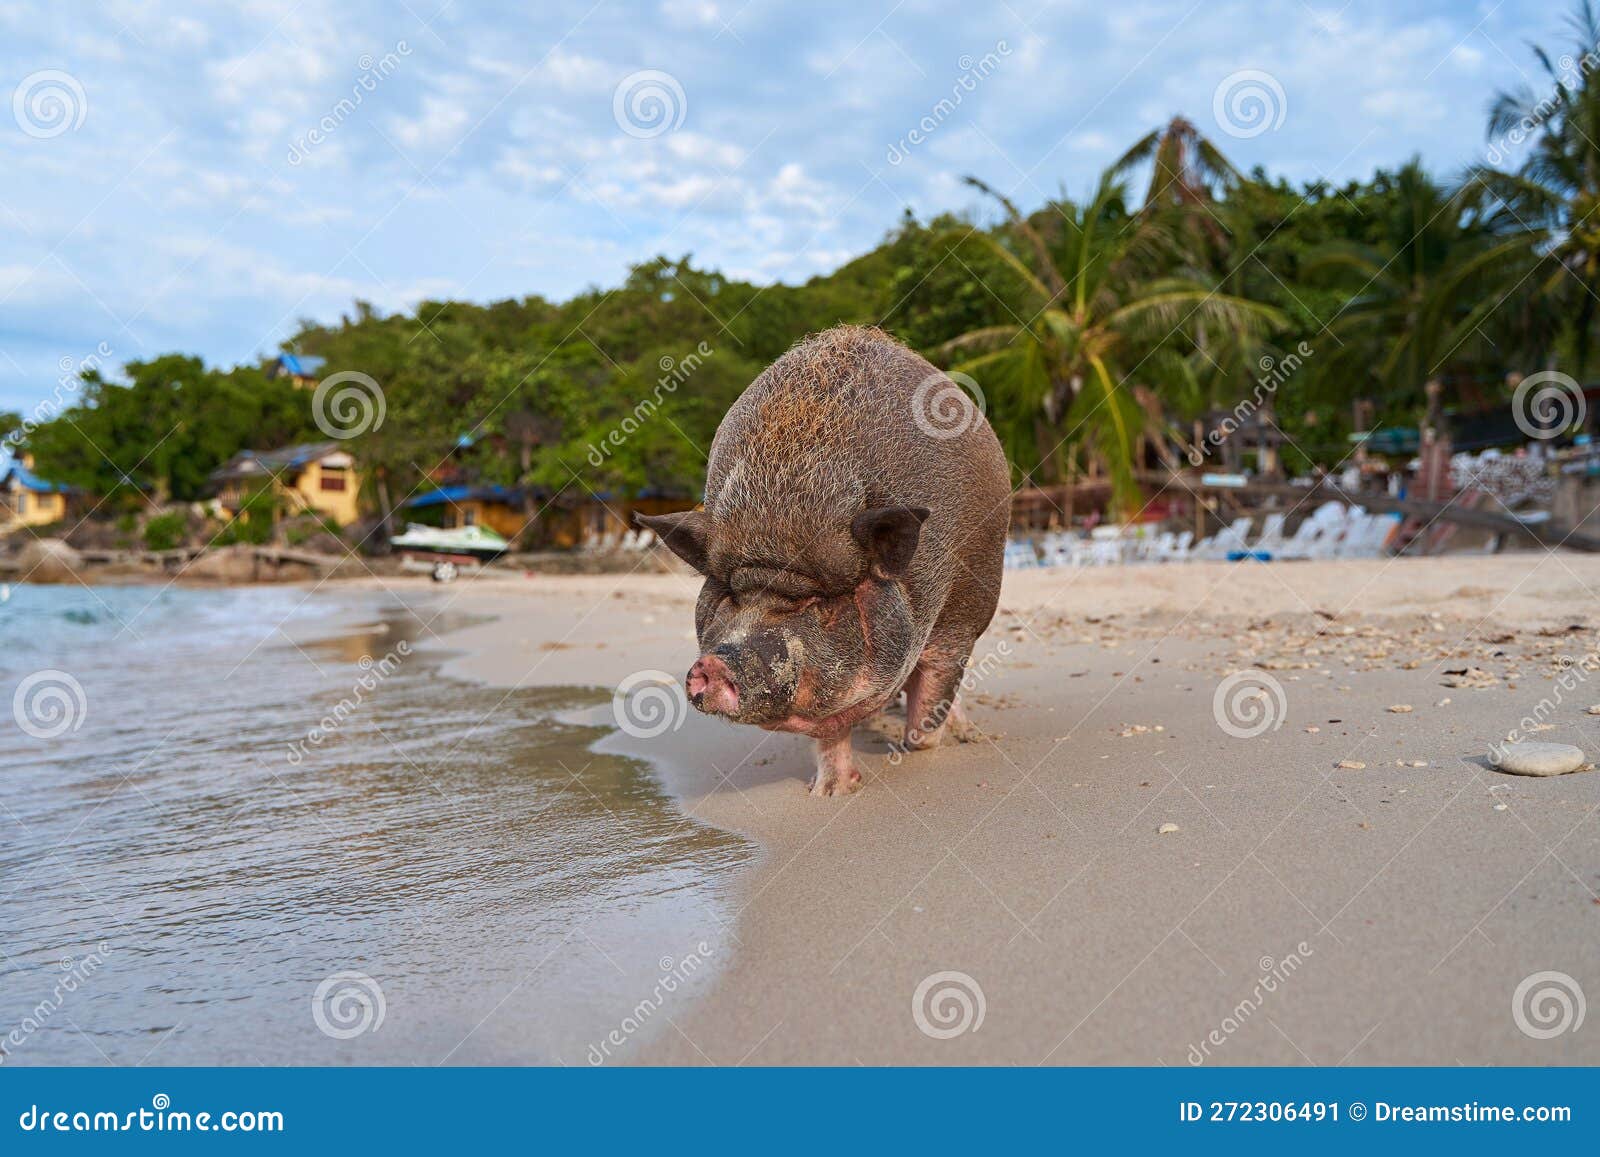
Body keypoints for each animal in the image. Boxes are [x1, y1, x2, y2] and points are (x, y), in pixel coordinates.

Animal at [637, 325, 1011, 796]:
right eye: (732, 594)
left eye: (819, 602)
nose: (715, 663)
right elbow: (829, 730)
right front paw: (830, 793)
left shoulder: (959, 620)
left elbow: (932, 700)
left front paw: (922, 743)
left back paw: (963, 734)